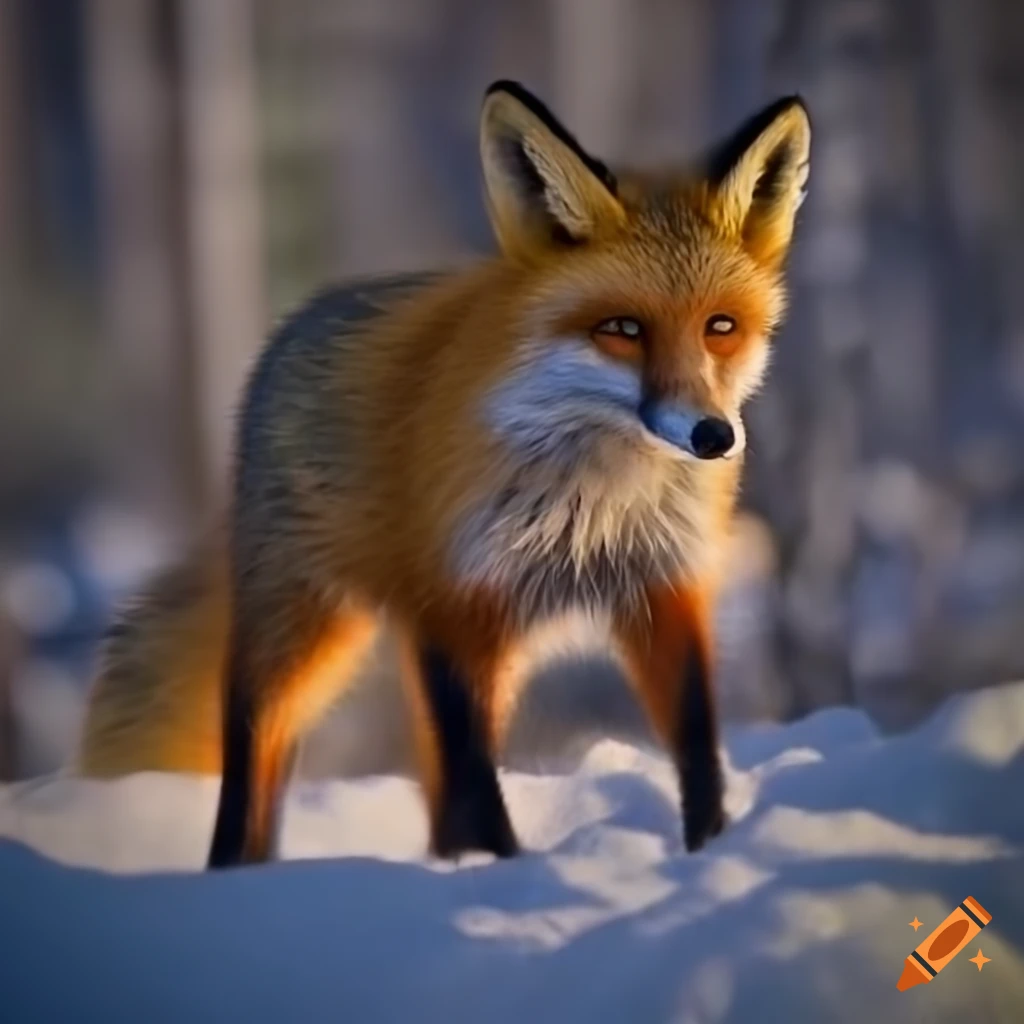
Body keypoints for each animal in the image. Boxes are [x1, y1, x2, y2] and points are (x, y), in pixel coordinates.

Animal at [78, 80, 811, 869]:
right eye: (623, 330)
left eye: (720, 327)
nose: (713, 436)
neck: (597, 500)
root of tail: (301, 317)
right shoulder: (454, 603)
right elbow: (474, 779)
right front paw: (504, 872)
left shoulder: (664, 587)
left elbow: (698, 746)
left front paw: (713, 849)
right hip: (305, 632)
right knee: (255, 756)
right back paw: (240, 874)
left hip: (493, 653)